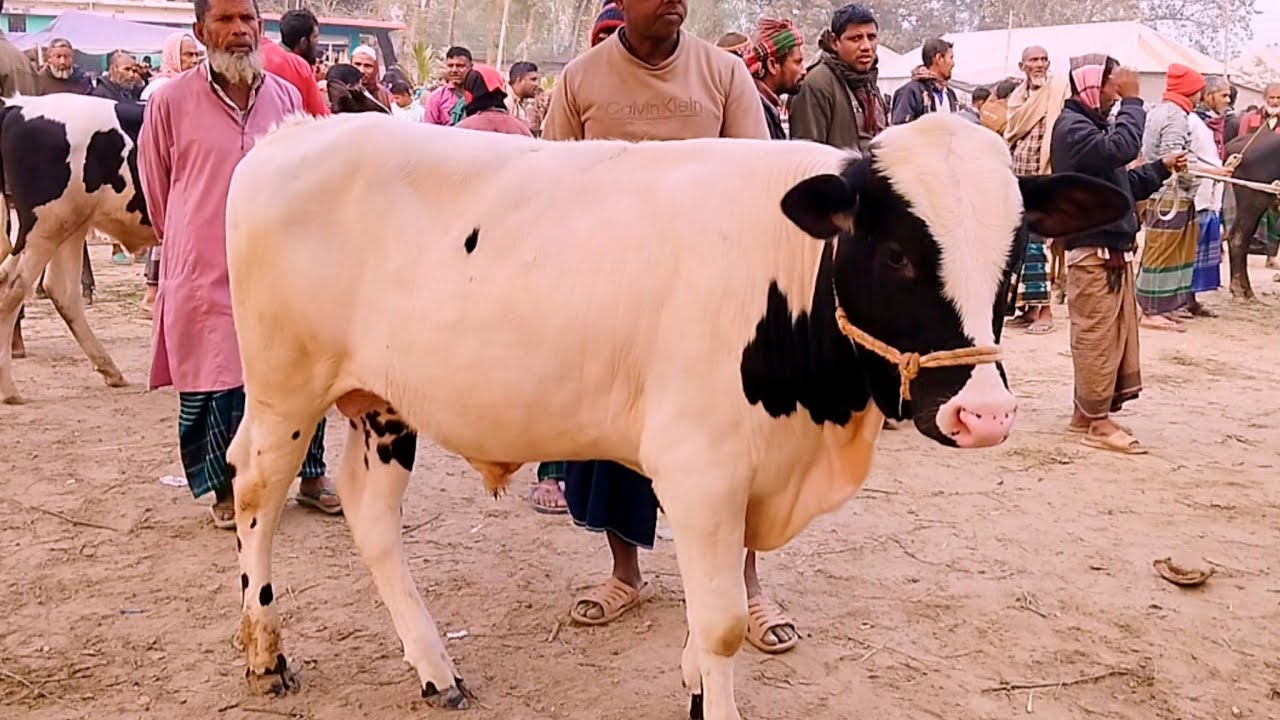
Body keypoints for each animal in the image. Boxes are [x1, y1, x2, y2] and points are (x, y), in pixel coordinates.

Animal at [0, 93, 155, 405]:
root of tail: (20, 105)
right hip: (45, 227)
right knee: (14, 288)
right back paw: (9, 389)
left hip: (69, 226)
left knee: (60, 289)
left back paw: (110, 369)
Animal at [222, 113, 1129, 719]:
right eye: (900, 254)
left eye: (1014, 256)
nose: (986, 413)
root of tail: (294, 133)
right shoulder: (700, 472)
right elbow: (721, 624)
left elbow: (708, 617)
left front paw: (695, 682)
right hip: (285, 387)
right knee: (253, 490)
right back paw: (266, 653)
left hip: (382, 405)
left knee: (371, 518)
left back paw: (434, 666)